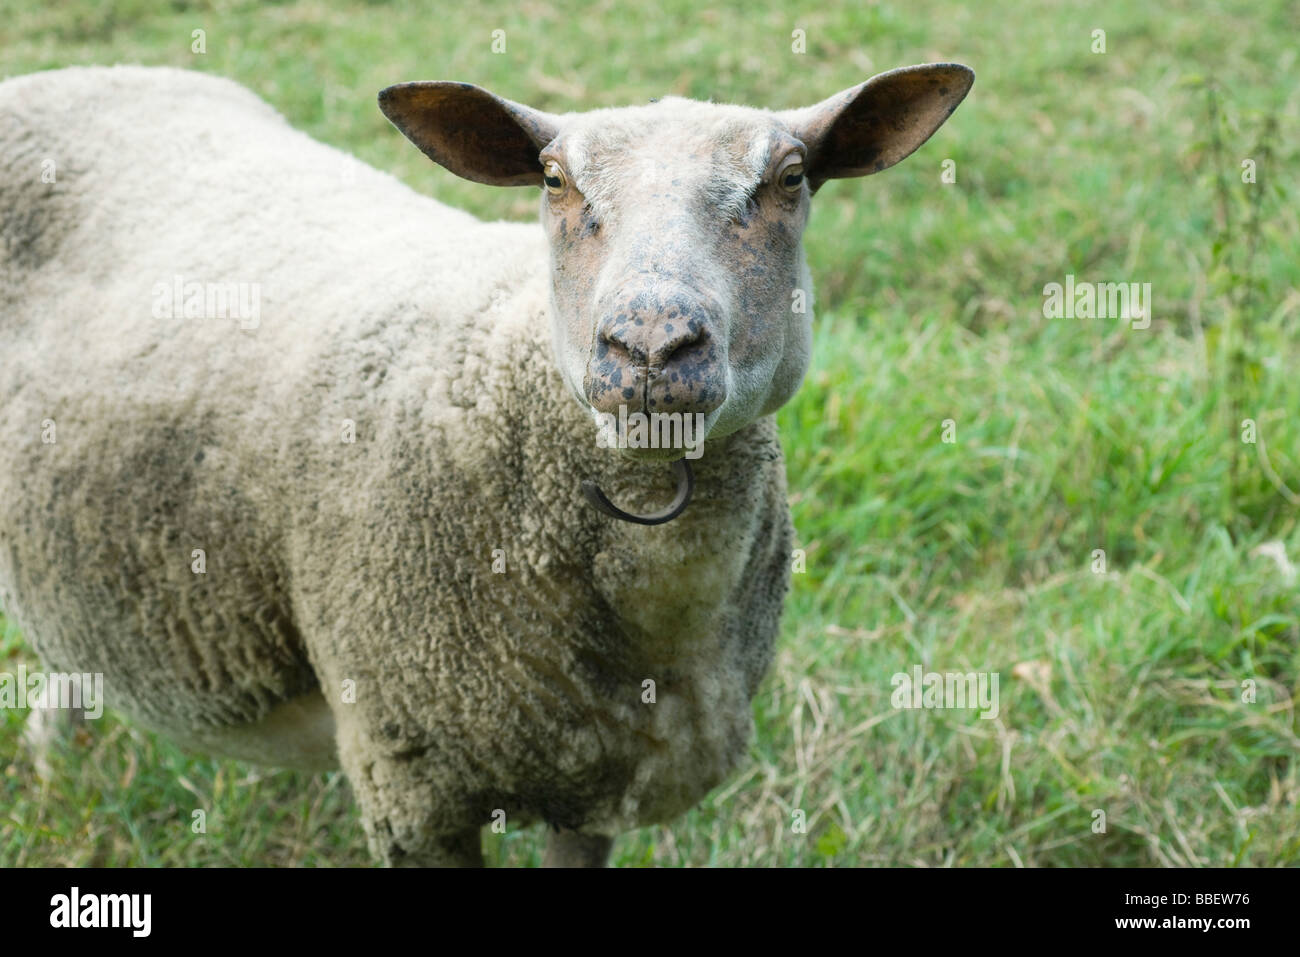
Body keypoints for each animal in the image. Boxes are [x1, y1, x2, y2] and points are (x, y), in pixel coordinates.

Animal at [0, 62, 972, 866]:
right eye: (553, 179)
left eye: (792, 177)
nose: (651, 345)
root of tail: (78, 74)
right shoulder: (408, 777)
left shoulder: (598, 783)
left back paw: (58, 767)